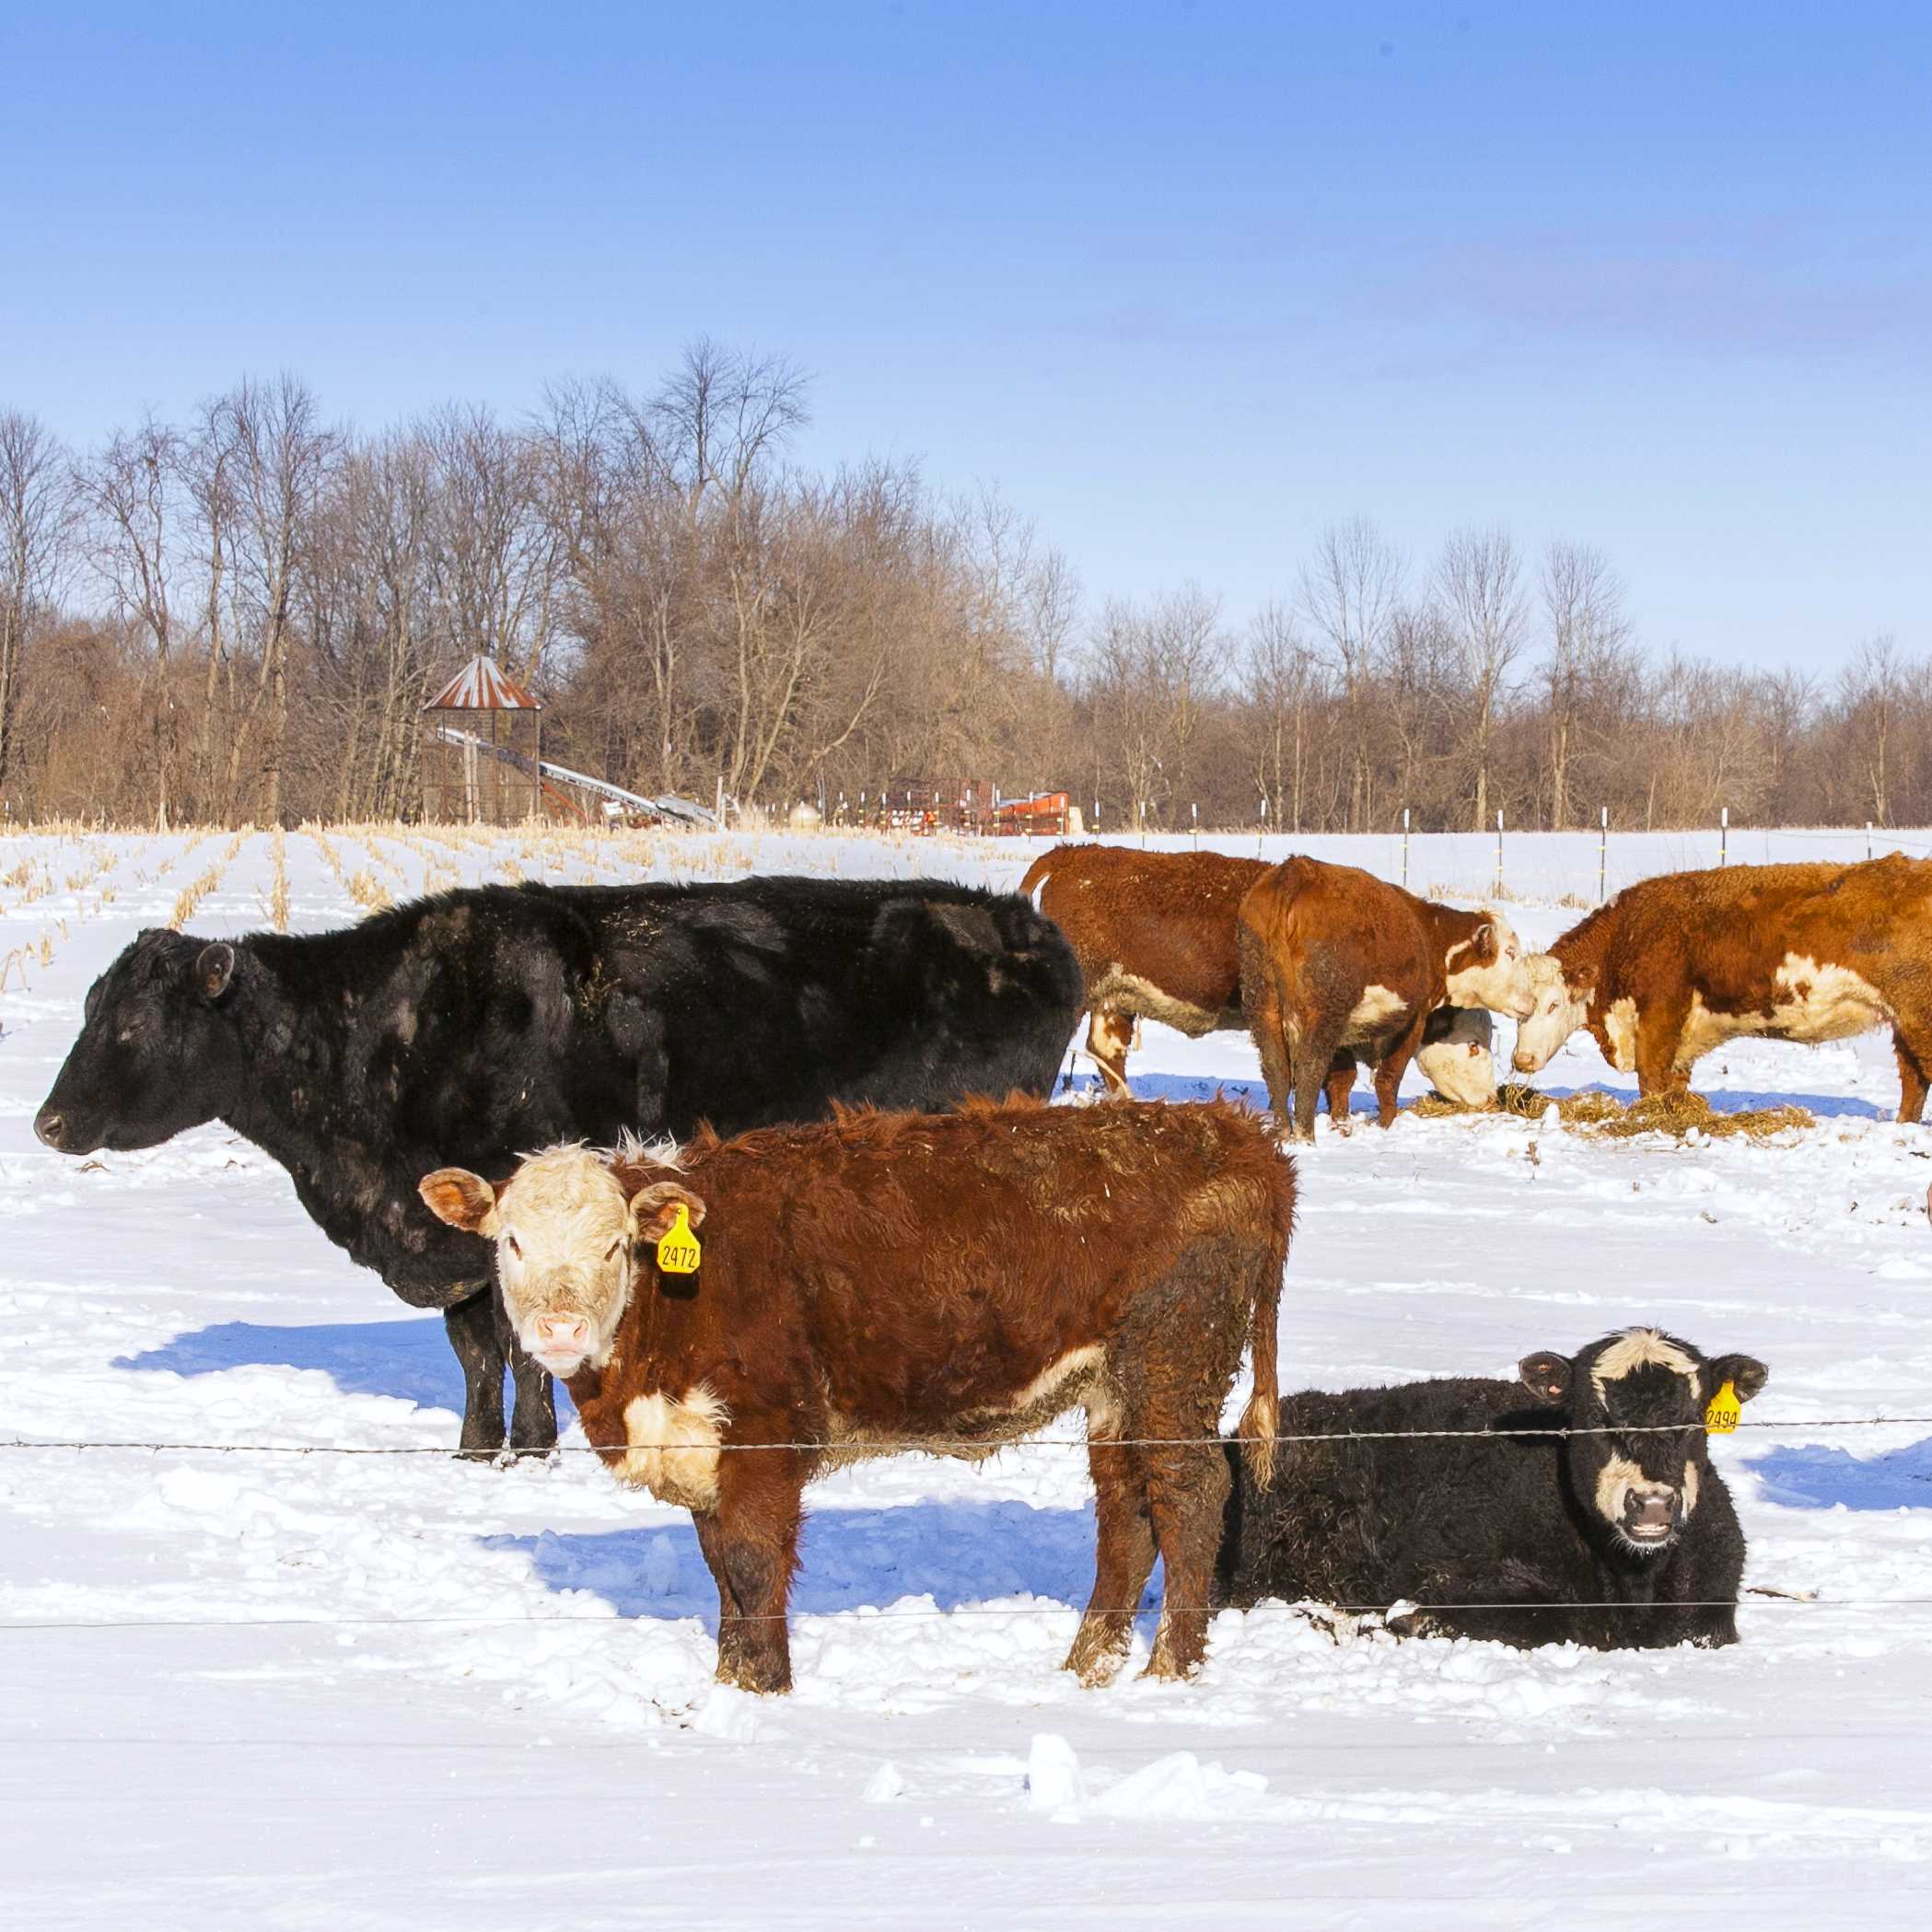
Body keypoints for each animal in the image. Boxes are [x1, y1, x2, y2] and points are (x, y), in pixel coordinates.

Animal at [35, 877, 1084, 1459]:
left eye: (131, 1024)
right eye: (91, 1006)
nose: (46, 1122)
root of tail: (1022, 929)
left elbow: (522, 1341)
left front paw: (534, 1448)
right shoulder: (458, 1239)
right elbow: (476, 1350)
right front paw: (475, 1449)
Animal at [419, 1095, 1295, 1692]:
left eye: (612, 1245)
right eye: (512, 1241)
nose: (560, 1327)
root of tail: (1237, 1133)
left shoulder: (767, 1431)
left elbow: (752, 1562)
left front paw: (765, 1689)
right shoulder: (702, 1444)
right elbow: (719, 1568)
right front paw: (728, 1681)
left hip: (1172, 1359)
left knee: (1189, 1494)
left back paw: (1171, 1670)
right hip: (1115, 1387)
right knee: (1126, 1513)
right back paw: (1086, 1666)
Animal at [1216, 1328, 1767, 1650]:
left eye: (1694, 1419)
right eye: (1592, 1417)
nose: (1652, 1504)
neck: (1632, 1587)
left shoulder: (1712, 1599)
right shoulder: (1451, 1574)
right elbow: (1543, 1620)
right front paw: (1397, 1623)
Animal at [1236, 856, 1536, 1139]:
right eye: (1510, 952)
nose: (1532, 1000)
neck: (1429, 937)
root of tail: (1296, 871)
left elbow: (1342, 1079)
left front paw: (1341, 1126)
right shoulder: (1412, 1020)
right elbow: (1388, 1078)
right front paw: (1387, 1124)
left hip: (1264, 1005)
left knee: (1276, 1069)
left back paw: (1283, 1133)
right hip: (1323, 1012)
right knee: (1309, 1070)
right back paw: (1305, 1137)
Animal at [1510, 856, 1932, 1118]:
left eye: (1552, 1005)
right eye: (1519, 1012)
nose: (1522, 1060)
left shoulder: (1658, 1017)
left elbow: (1651, 1081)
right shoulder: (1681, 1036)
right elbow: (1674, 1083)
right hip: (1905, 1023)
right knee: (1913, 1082)